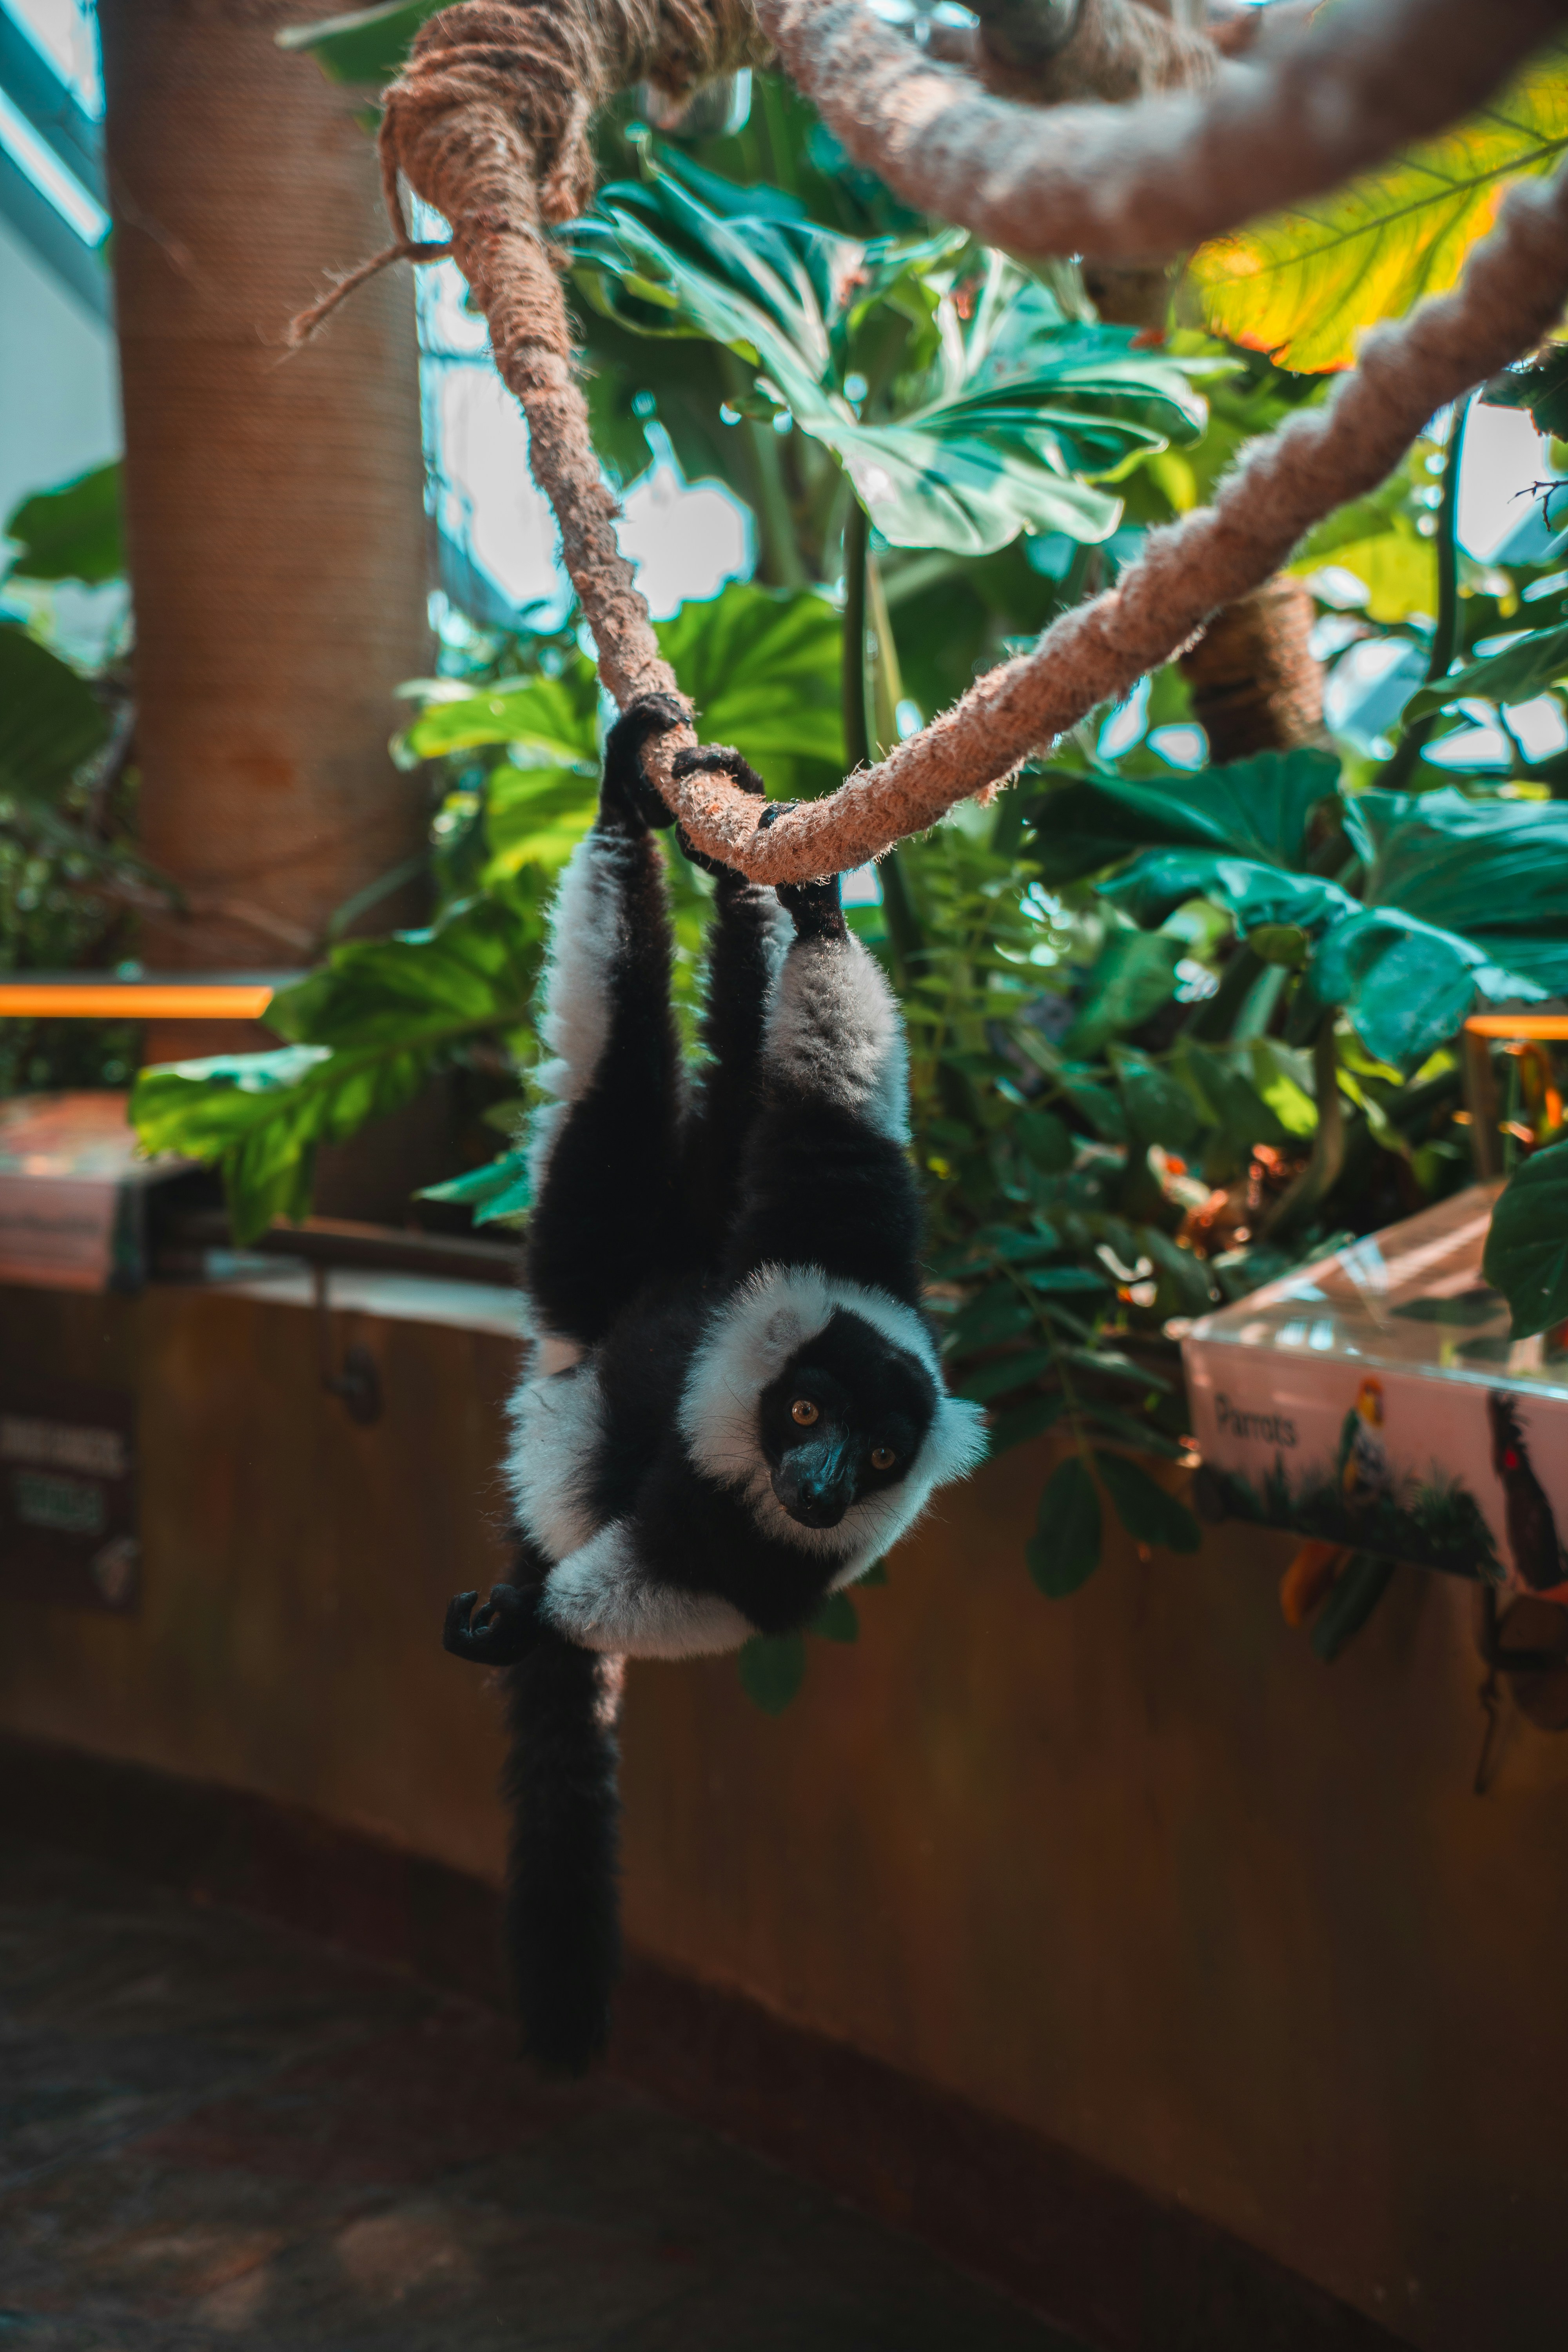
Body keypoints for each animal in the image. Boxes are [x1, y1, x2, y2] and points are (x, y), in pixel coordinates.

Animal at [443, 694, 987, 2073]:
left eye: (883, 1457)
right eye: (808, 1411)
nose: (823, 1483)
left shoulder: (784, 1556)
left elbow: (710, 1593)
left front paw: (530, 1624)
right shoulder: (844, 1228)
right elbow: (836, 1098)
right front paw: (819, 919)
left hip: (591, 1271)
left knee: (623, 1081)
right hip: (652, 1239)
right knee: (665, 1059)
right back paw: (662, 831)